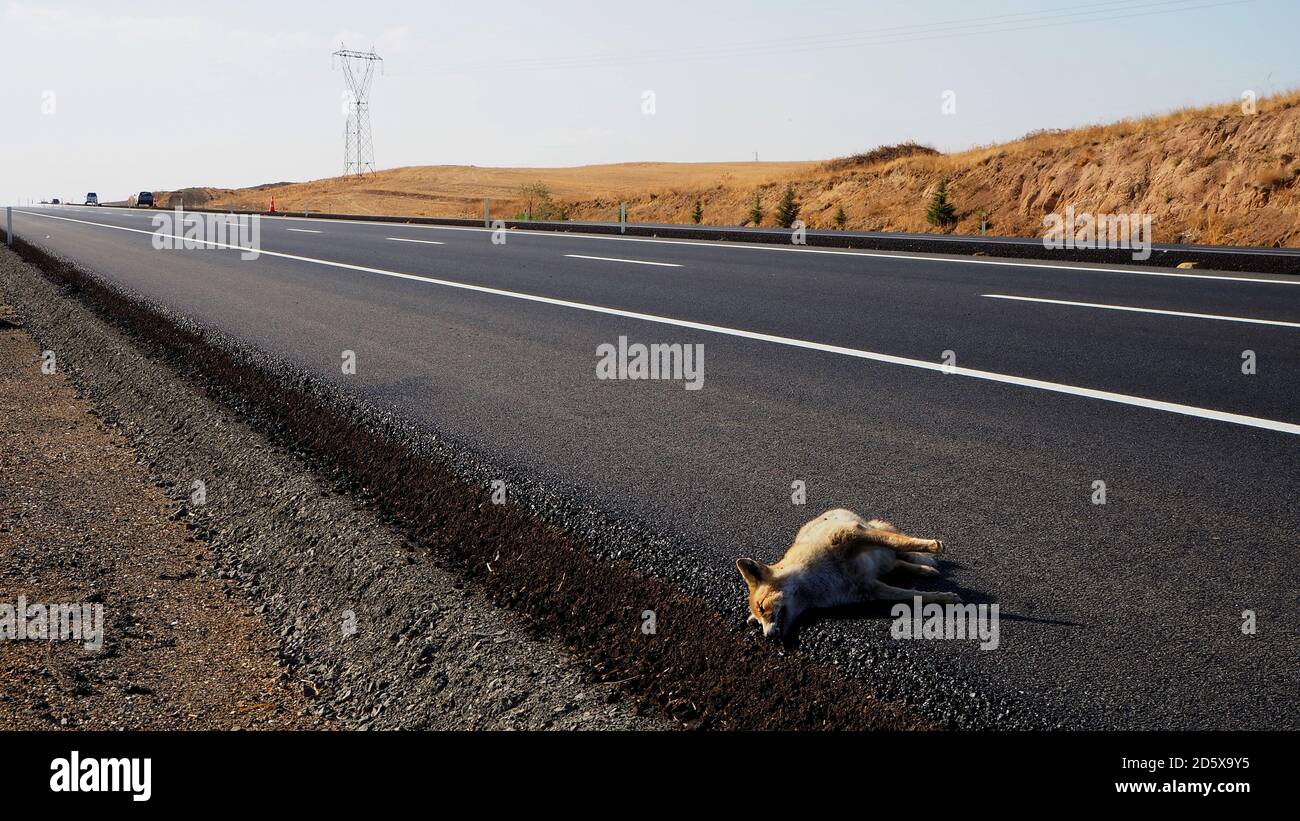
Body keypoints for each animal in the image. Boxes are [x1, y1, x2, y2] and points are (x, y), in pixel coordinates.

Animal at [736, 508, 961, 639]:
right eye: (757, 621)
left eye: (762, 607)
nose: (768, 636)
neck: (817, 580)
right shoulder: (868, 589)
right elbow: (913, 596)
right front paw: (944, 598)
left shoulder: (851, 535)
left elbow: (900, 542)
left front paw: (932, 546)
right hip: (882, 566)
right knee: (898, 563)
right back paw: (924, 570)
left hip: (874, 541)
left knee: (898, 548)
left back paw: (924, 562)